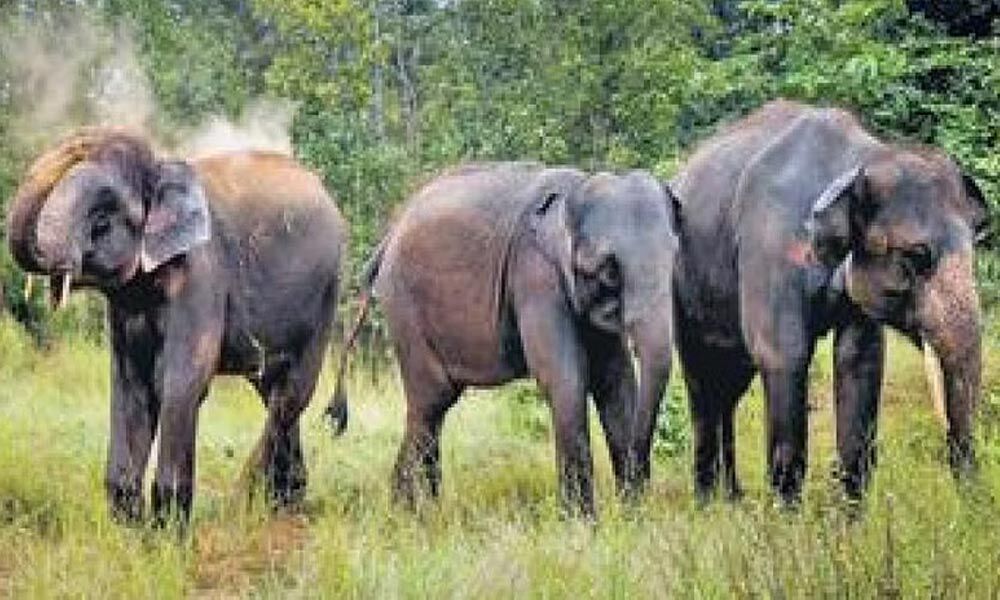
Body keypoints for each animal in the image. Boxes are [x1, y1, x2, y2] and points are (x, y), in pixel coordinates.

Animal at [5, 128, 346, 523]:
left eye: (102, 221)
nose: (84, 138)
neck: (160, 168)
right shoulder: (124, 307)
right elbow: (131, 385)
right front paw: (131, 530)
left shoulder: (200, 275)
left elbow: (182, 383)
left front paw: (167, 532)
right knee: (273, 390)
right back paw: (284, 503)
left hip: (326, 295)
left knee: (291, 394)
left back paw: (244, 502)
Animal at [328, 162, 679, 515]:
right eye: (609, 270)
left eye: (675, 260)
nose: (634, 492)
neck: (577, 188)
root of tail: (387, 240)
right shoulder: (536, 276)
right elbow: (566, 381)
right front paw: (582, 522)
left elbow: (616, 380)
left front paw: (632, 518)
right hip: (405, 309)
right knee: (431, 401)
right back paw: (410, 513)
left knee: (435, 407)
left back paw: (422, 510)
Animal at [671, 100, 988, 503]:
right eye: (917, 256)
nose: (970, 500)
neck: (862, 161)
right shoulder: (769, 246)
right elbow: (783, 355)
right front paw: (786, 515)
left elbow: (860, 359)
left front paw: (850, 513)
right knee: (702, 381)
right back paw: (708, 503)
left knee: (729, 385)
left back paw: (733, 499)